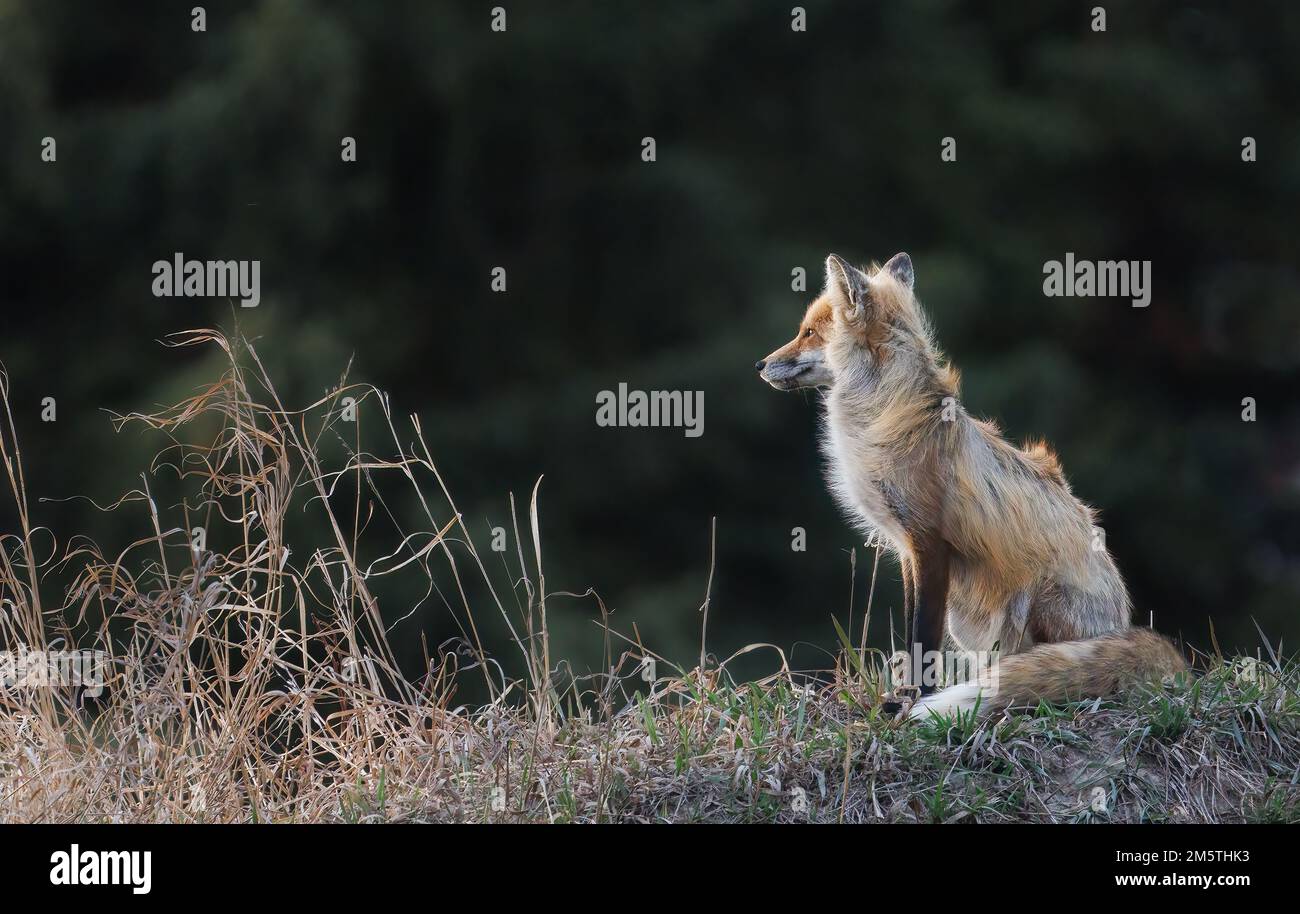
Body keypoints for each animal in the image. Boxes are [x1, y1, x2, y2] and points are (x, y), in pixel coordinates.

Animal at [756, 252, 1187, 719]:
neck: (885, 417)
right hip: (969, 621)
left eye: (809, 333)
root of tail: (1122, 623)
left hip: (1029, 603)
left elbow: (922, 640)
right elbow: (911, 629)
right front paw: (906, 696)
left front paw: (914, 701)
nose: (760, 365)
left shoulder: (930, 543)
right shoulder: (907, 549)